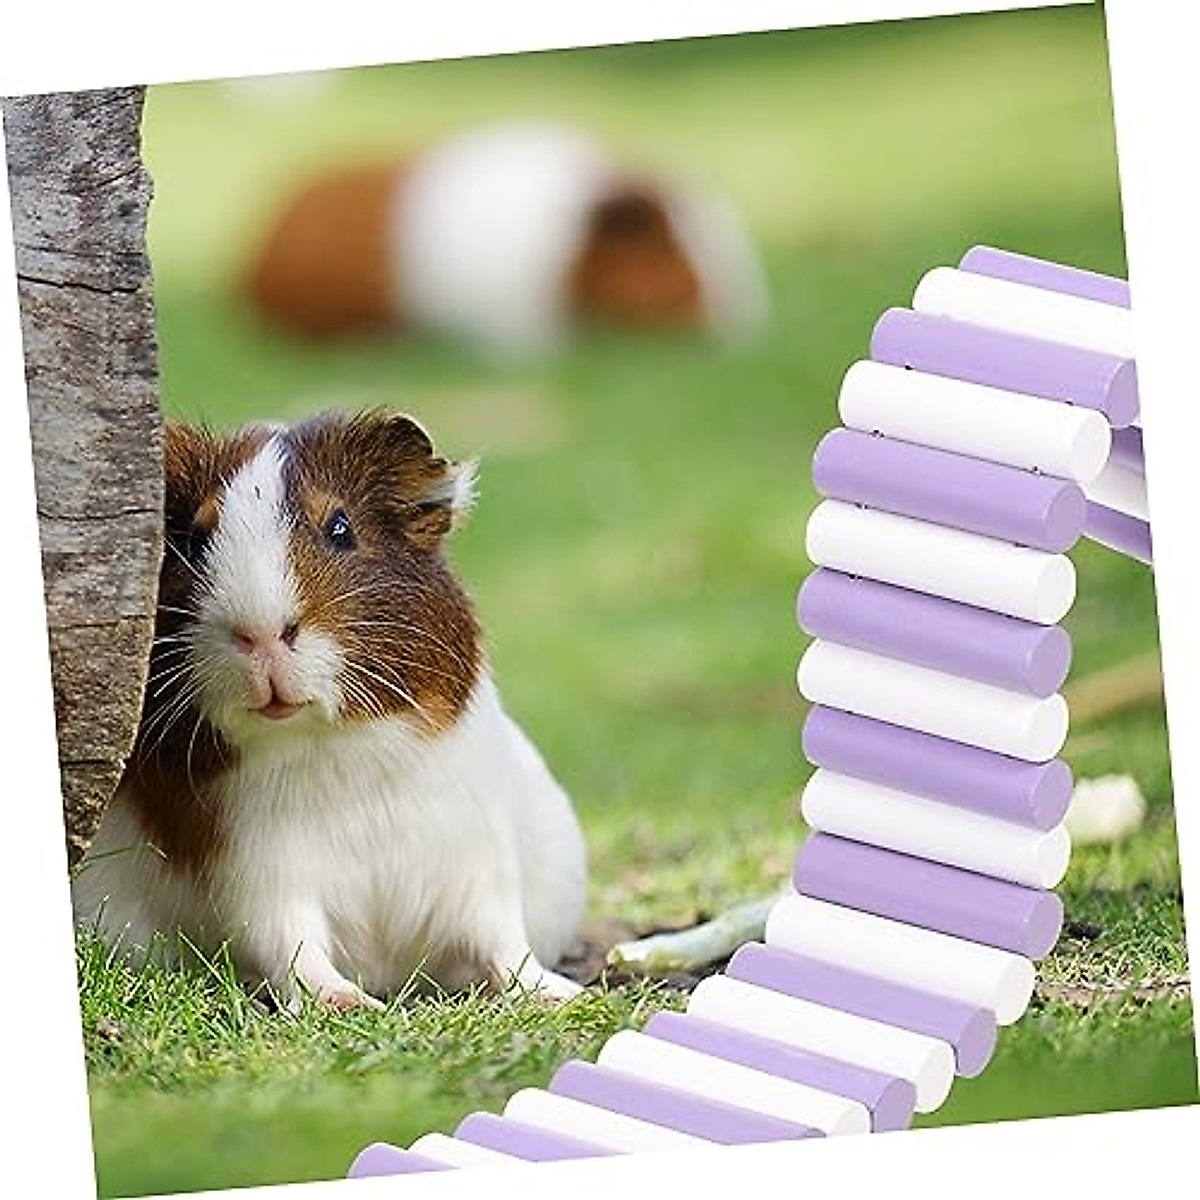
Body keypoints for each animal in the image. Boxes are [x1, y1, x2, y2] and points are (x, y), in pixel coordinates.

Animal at [71, 411, 587, 1009]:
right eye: (196, 540)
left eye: (340, 528)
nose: (260, 634)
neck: (329, 751)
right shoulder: (261, 873)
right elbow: (292, 948)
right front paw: (351, 1003)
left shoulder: (475, 861)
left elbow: (505, 944)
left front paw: (568, 995)